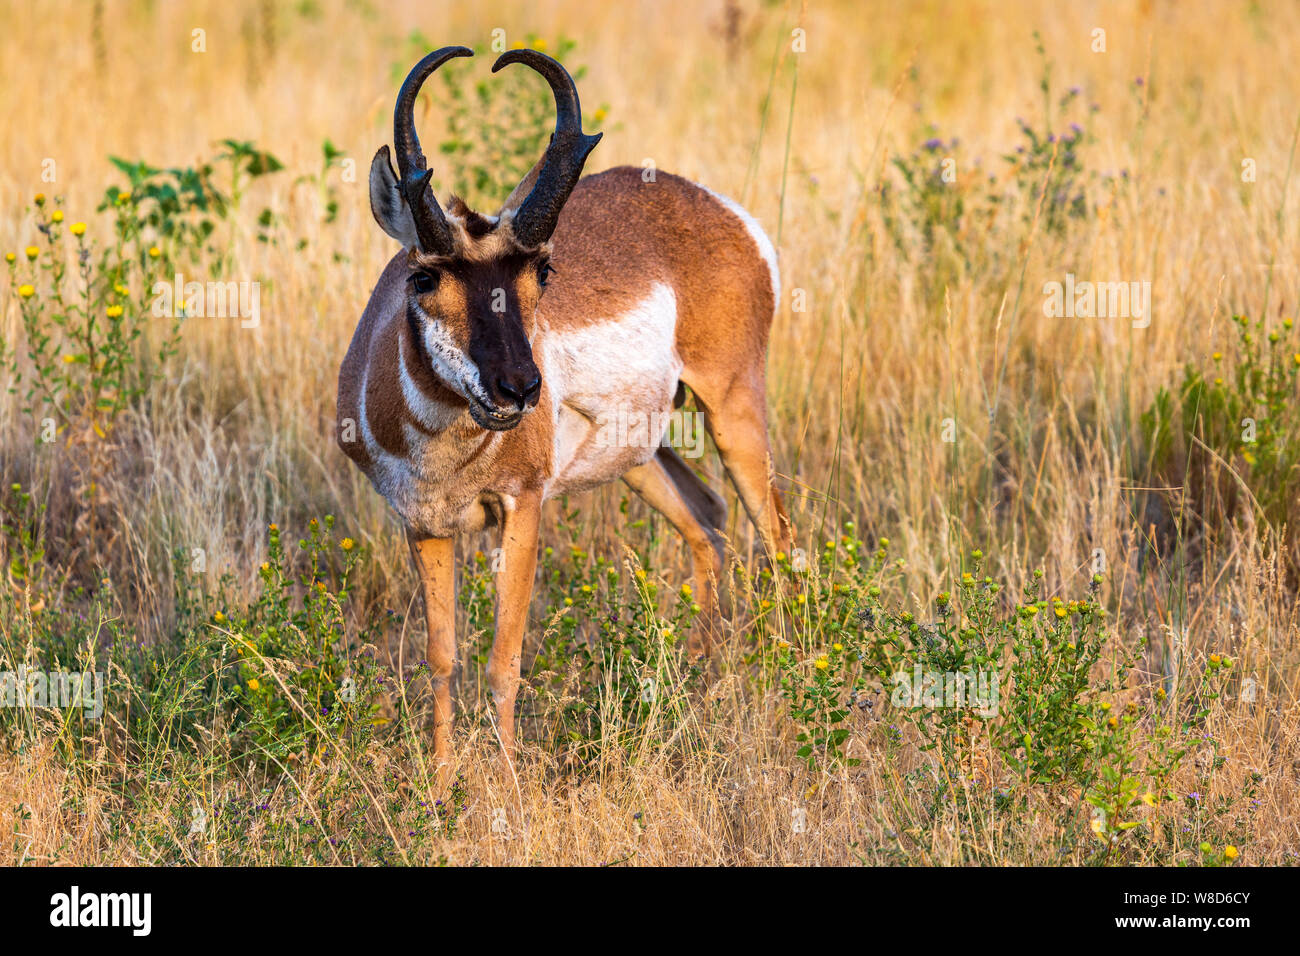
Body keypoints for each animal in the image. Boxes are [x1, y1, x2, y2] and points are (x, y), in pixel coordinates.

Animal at [337, 46, 791, 766]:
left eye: (541, 273)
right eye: (424, 275)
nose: (522, 388)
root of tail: (720, 211)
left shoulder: (522, 506)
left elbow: (504, 662)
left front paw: (506, 787)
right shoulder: (424, 523)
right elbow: (441, 659)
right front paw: (438, 783)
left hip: (733, 410)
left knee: (777, 536)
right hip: (640, 456)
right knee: (708, 521)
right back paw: (697, 678)